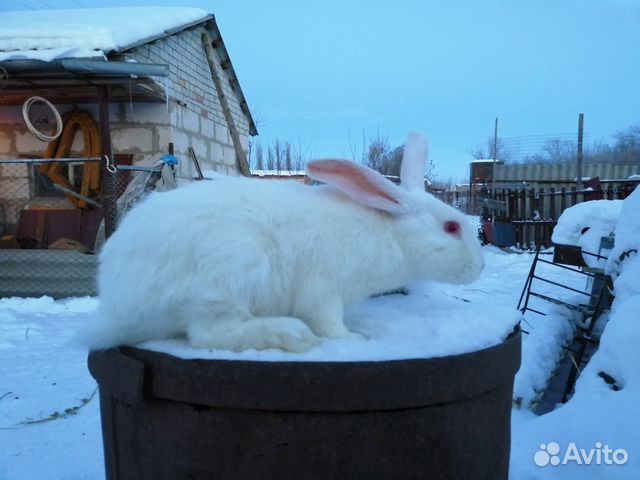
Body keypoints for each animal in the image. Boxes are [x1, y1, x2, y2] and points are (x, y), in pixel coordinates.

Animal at [81, 132, 484, 353]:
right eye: (451, 227)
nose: (480, 267)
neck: (390, 232)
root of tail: (115, 302)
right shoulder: (323, 290)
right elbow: (329, 322)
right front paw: (353, 339)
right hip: (230, 273)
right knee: (210, 333)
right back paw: (291, 334)